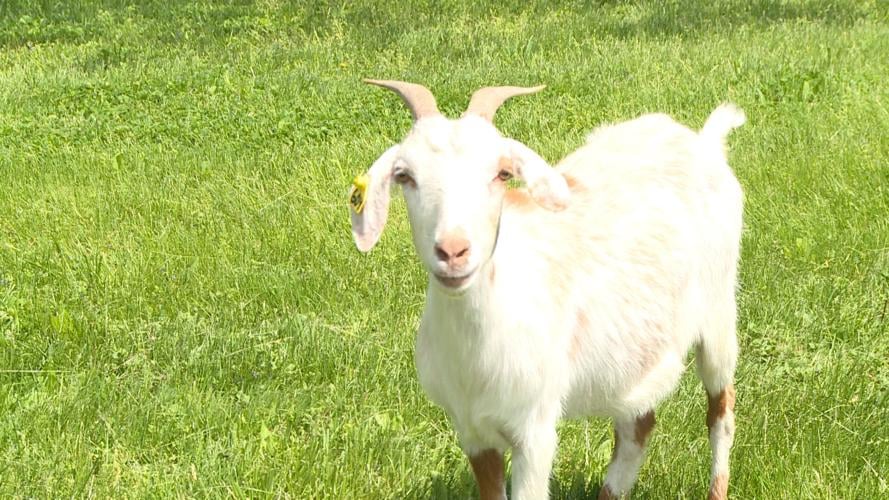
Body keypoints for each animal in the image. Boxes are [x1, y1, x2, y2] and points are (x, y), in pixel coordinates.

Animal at [350, 80, 744, 500]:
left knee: (720, 414)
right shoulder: (472, 431)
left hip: (719, 316)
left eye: (502, 173)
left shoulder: (535, 430)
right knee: (638, 424)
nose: (453, 251)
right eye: (404, 176)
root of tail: (702, 142)